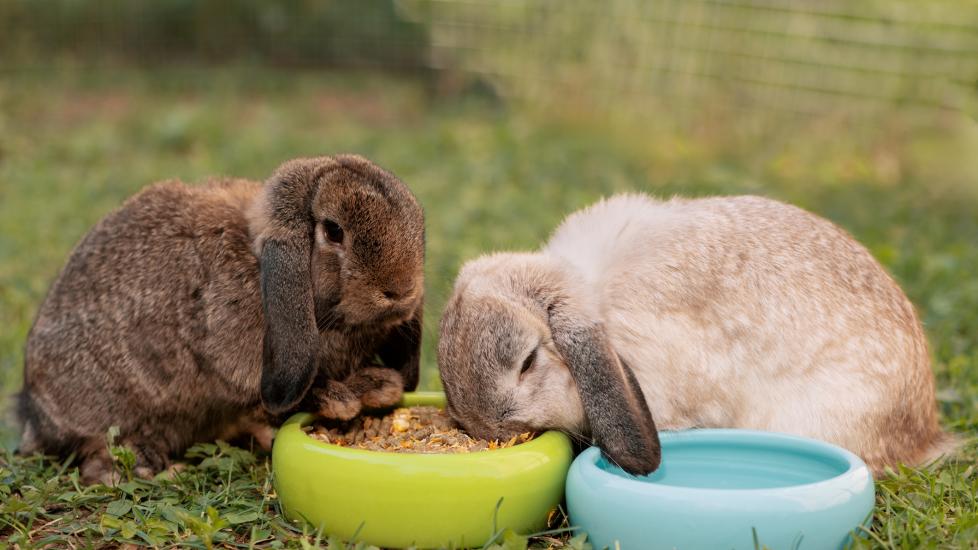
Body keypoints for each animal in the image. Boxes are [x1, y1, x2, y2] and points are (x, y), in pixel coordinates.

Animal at [18, 155, 425, 484]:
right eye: (333, 231)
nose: (402, 289)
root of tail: (35, 415)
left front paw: (379, 387)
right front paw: (342, 399)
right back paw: (155, 467)